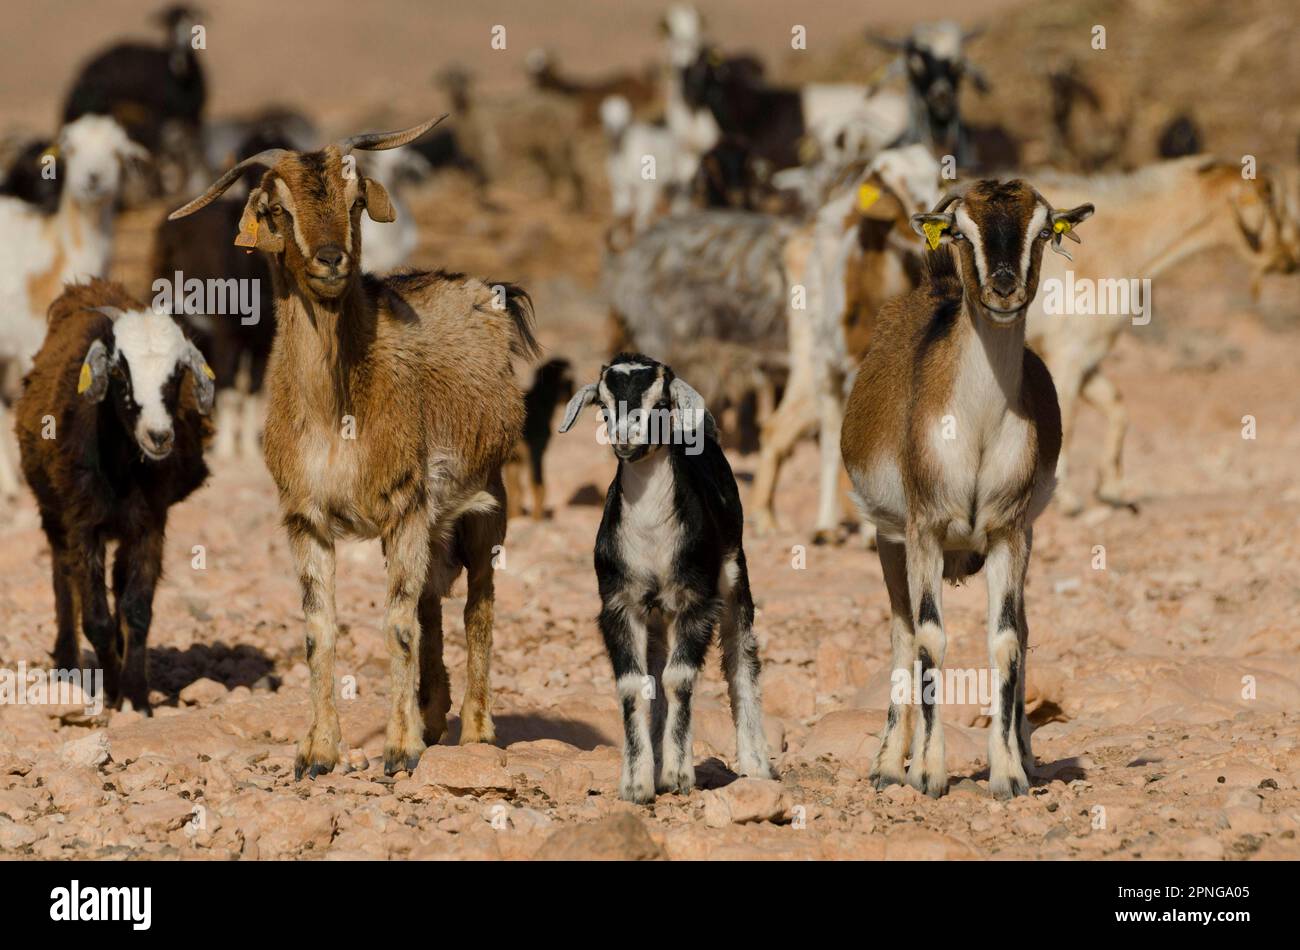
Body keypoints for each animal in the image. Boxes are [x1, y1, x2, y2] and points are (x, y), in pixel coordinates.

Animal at [15, 280, 213, 711]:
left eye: (178, 373)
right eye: (119, 371)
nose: (159, 437)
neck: (123, 467)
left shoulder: (150, 522)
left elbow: (137, 609)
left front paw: (135, 696)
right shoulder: (82, 523)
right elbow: (96, 619)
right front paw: (110, 691)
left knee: (120, 582)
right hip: (53, 514)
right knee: (62, 578)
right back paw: (67, 665)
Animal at [168, 118, 539, 778]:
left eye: (355, 201)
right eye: (278, 208)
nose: (331, 260)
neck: (336, 412)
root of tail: (488, 290)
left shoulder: (406, 503)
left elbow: (395, 624)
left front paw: (400, 749)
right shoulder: (305, 518)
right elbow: (322, 629)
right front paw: (317, 752)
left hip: (485, 500)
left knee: (477, 603)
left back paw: (474, 729)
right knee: (432, 600)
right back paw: (434, 714)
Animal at [504, 357, 575, 521]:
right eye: (569, 383)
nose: (571, 395)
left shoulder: (515, 460)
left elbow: (515, 488)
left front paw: (515, 517)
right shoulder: (537, 450)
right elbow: (536, 485)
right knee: (536, 485)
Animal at [559, 354, 775, 802]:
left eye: (660, 403)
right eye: (604, 408)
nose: (626, 438)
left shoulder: (696, 602)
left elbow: (681, 677)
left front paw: (678, 775)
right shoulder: (620, 605)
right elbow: (634, 683)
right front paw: (637, 783)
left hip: (735, 579)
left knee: (741, 657)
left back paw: (756, 765)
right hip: (658, 614)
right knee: (657, 671)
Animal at [842, 180, 1093, 799]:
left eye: (1043, 230)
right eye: (961, 230)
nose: (1003, 289)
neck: (976, 426)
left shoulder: (1009, 533)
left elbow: (1005, 642)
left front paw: (1008, 774)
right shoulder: (924, 531)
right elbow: (930, 638)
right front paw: (929, 773)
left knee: (1021, 631)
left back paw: (1025, 756)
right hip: (890, 544)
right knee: (903, 633)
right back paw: (890, 764)